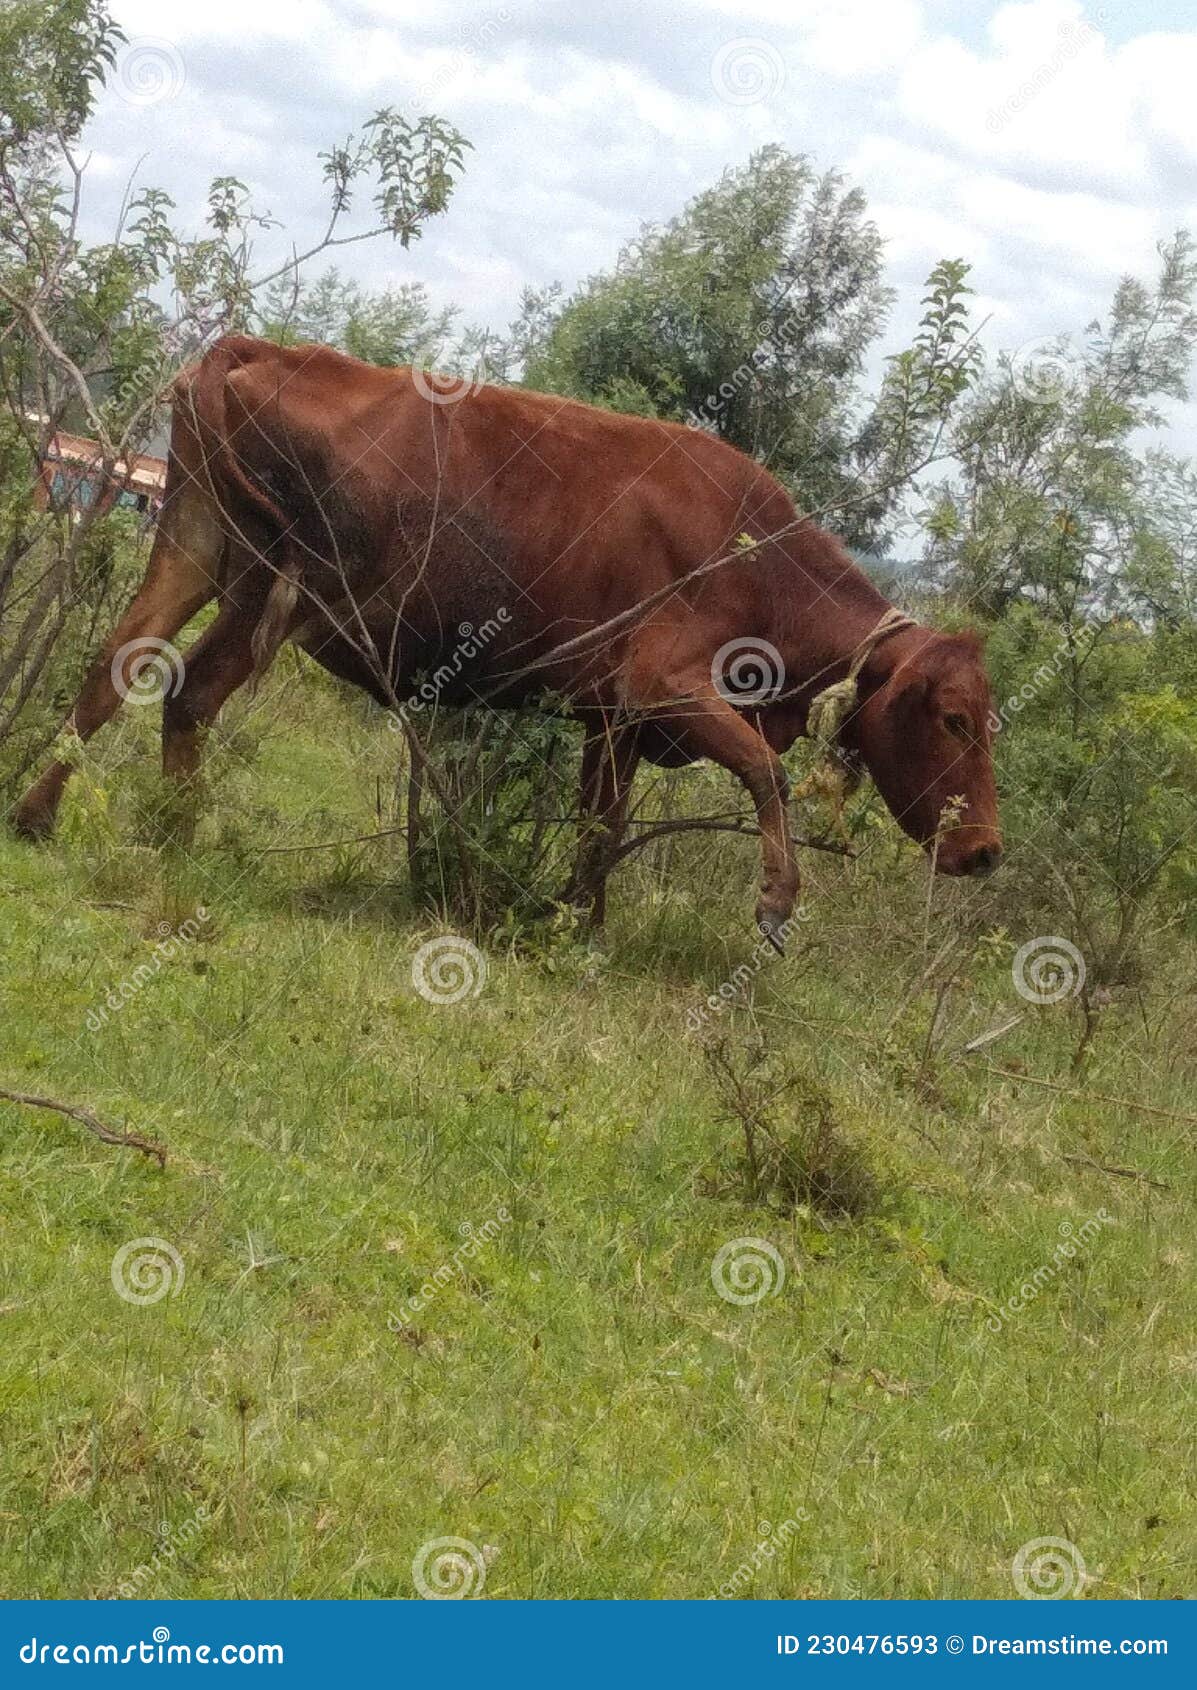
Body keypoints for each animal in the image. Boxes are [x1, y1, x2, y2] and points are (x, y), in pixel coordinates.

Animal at [14, 334, 1001, 942]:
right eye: (953, 718)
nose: (985, 851)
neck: (761, 567)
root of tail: (266, 348)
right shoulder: (661, 684)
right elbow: (764, 772)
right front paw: (774, 900)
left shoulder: (613, 720)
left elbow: (602, 823)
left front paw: (578, 928)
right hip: (276, 591)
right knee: (189, 690)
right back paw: (178, 835)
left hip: (194, 545)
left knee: (120, 669)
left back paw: (43, 817)